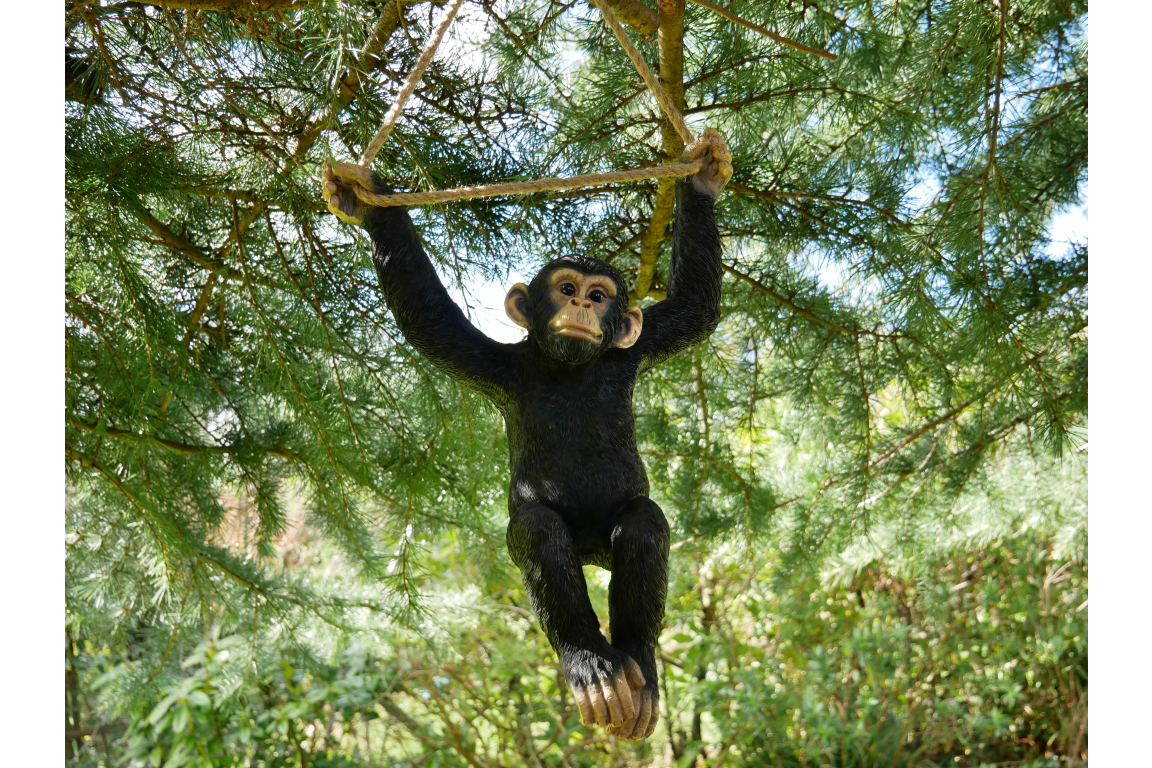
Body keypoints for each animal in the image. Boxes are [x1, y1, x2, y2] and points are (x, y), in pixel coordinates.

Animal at [322, 128, 731, 739]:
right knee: (539, 532)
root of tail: (589, 551)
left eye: (600, 295)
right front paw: (364, 197)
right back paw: (591, 664)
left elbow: (696, 308)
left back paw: (635, 659)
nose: (581, 303)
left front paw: (703, 173)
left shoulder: (637, 349)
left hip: (609, 543)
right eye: (564, 287)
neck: (570, 367)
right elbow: (427, 317)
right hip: (558, 547)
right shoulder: (495, 362)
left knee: (643, 525)